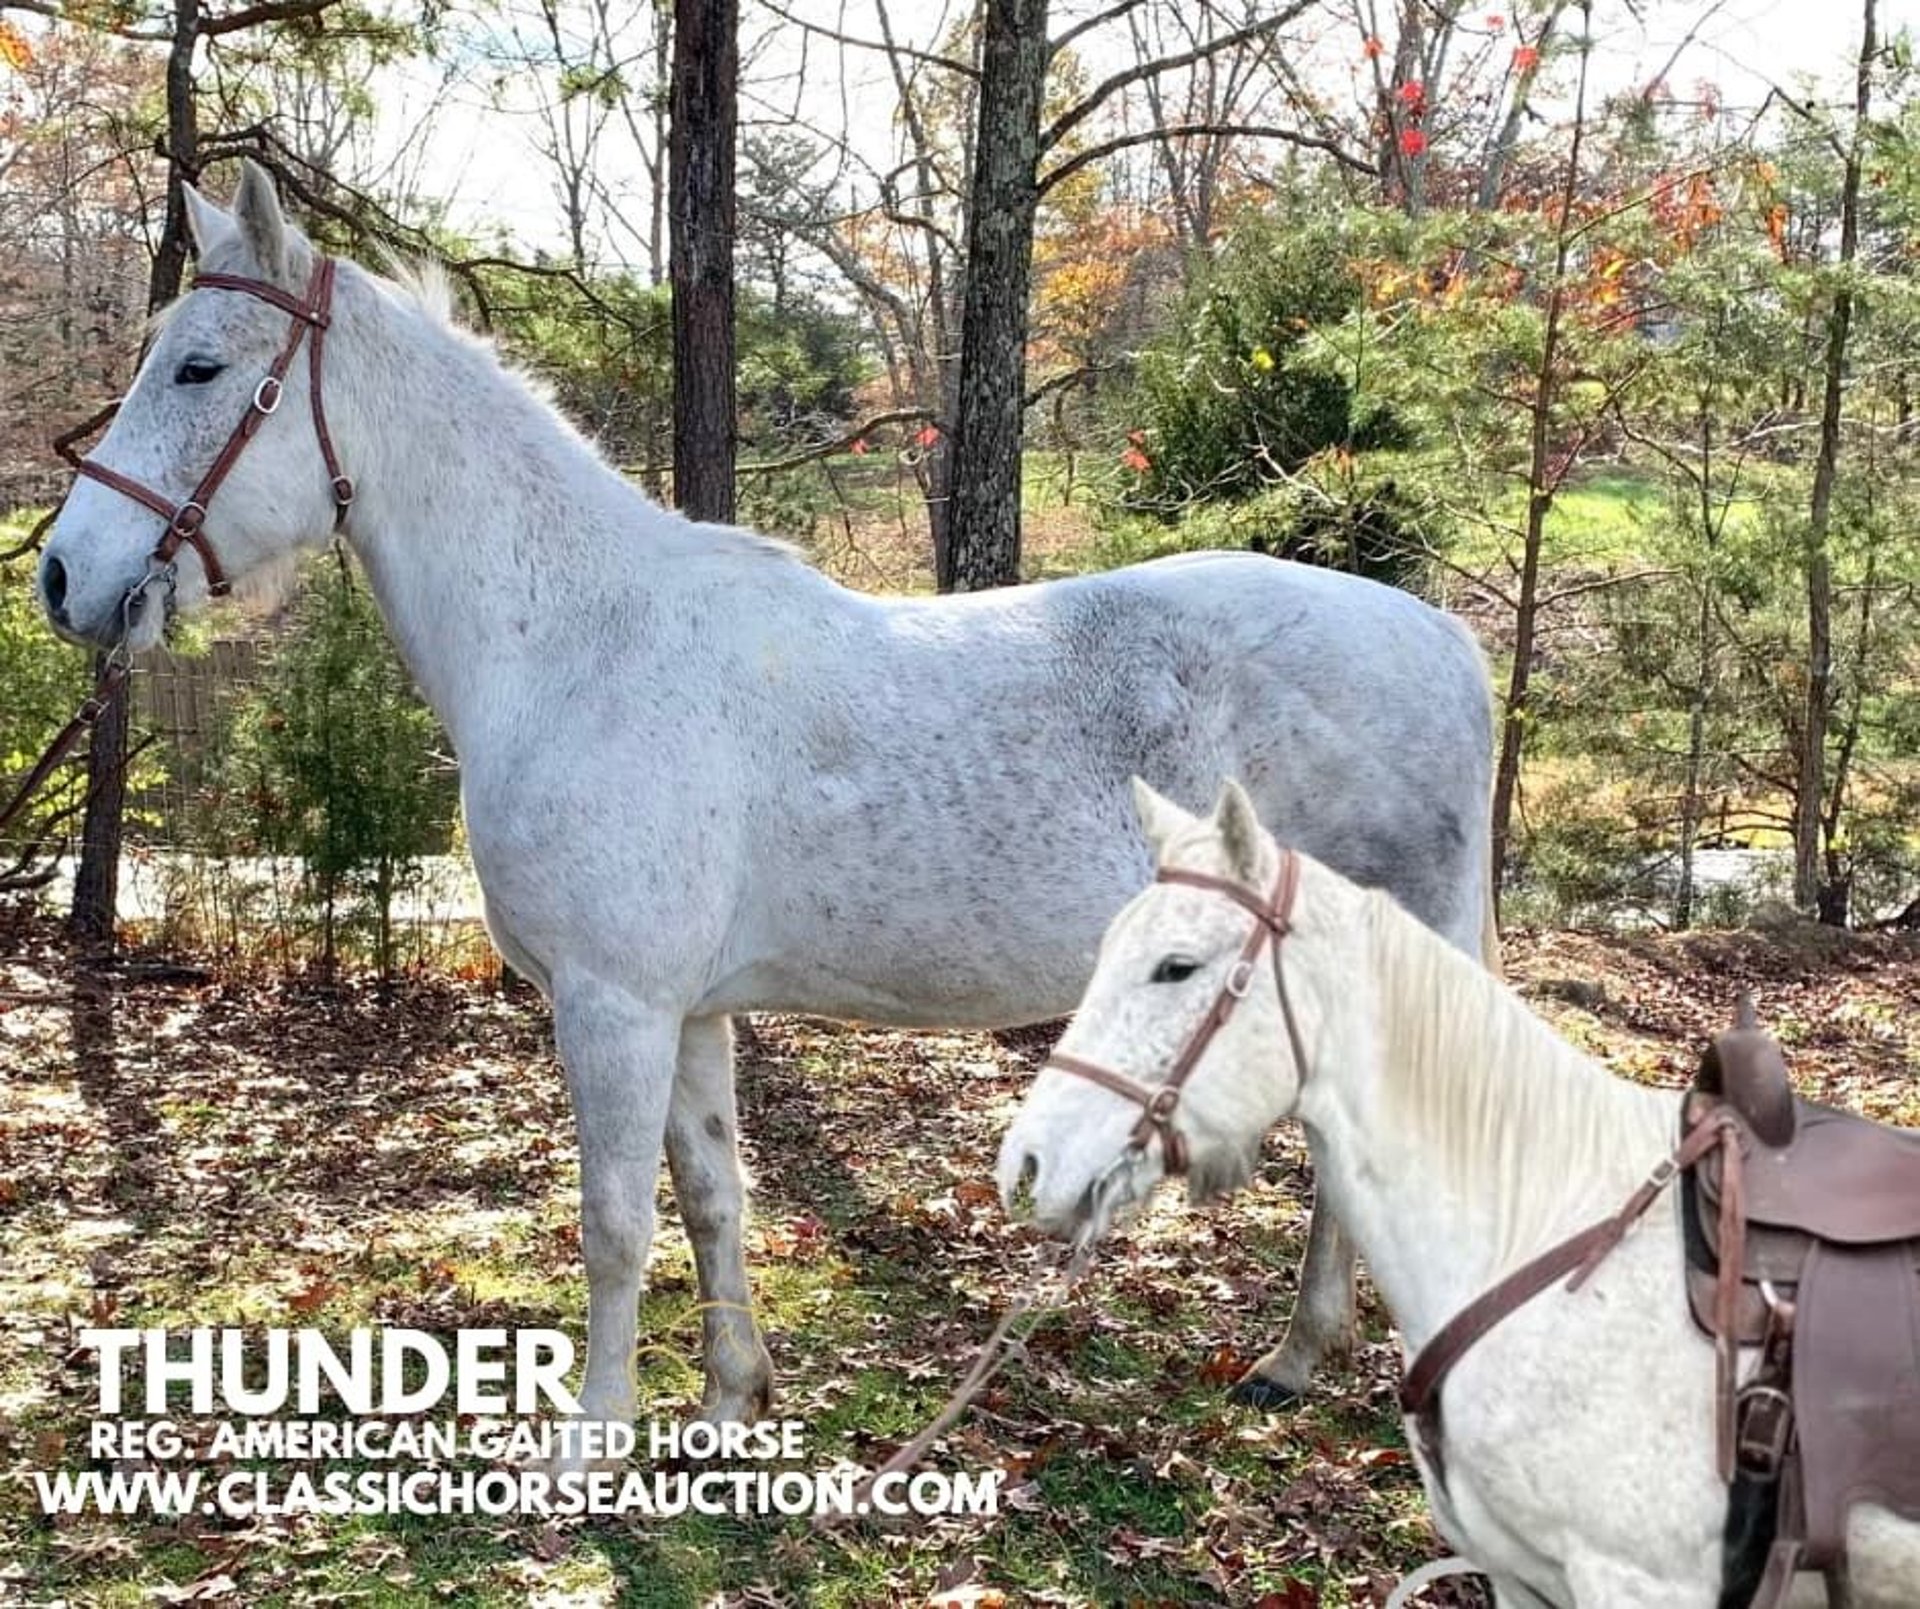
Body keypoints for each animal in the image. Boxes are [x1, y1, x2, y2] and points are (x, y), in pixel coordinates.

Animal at [35, 162, 1498, 1446]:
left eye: (199, 368)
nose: (62, 576)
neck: (579, 642)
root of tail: (1444, 639)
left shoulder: (612, 1005)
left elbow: (615, 1220)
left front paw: (589, 1444)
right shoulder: (688, 1012)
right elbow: (710, 1196)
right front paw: (730, 1397)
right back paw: (1298, 1359)